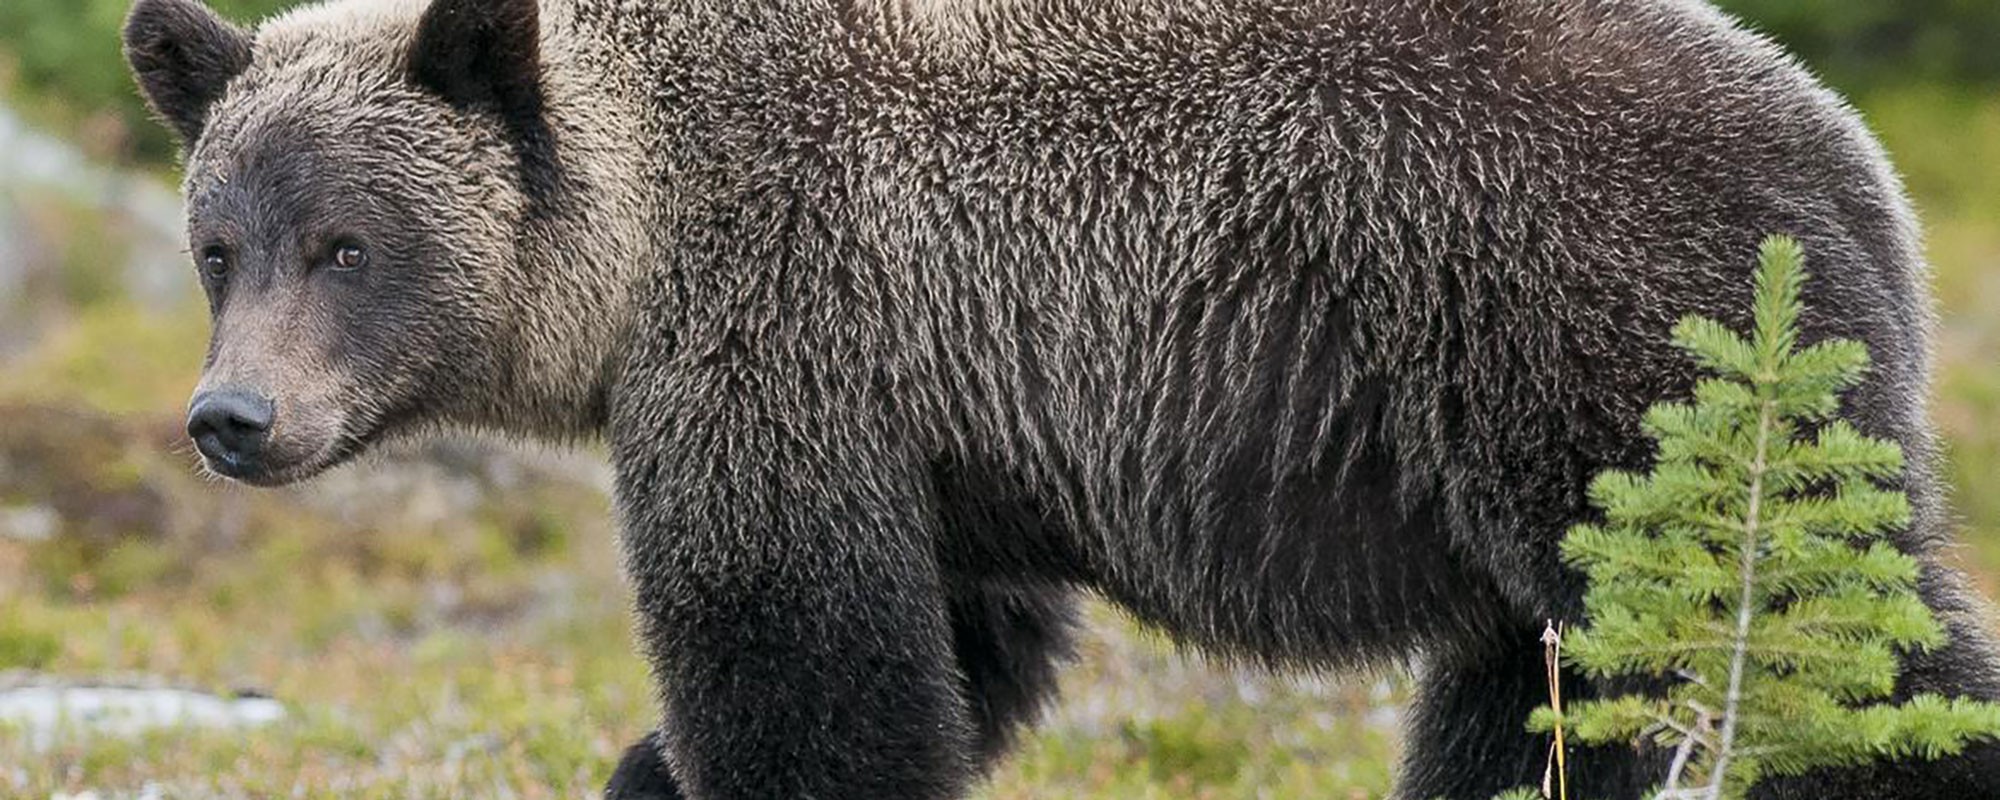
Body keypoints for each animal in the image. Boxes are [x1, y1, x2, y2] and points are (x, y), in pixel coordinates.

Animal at [121, 0, 2000, 797]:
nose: (232, 420)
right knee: (1548, 692)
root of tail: (1863, 162)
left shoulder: (778, 332)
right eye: (218, 243)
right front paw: (644, 770)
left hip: (1606, 347)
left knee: (1843, 637)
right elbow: (964, 646)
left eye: (347, 242)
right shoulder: (925, 414)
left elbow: (801, 661)